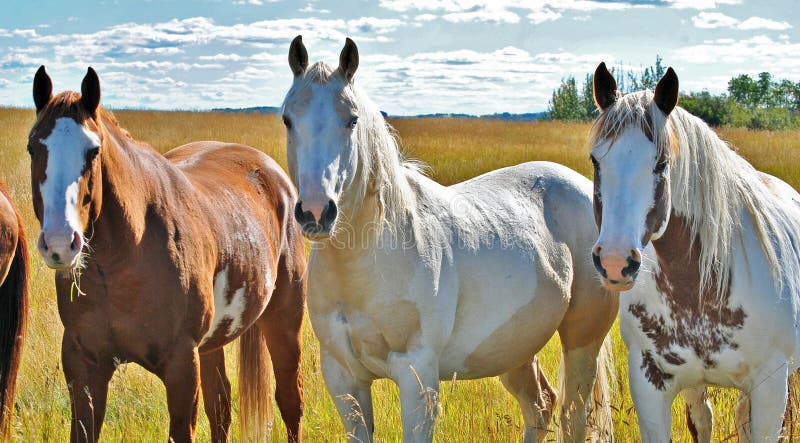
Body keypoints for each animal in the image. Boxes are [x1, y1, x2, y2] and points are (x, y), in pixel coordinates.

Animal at [28, 66, 307, 443]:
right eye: (33, 148)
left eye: (93, 151)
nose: (59, 242)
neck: (122, 261)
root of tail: (272, 173)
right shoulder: (83, 366)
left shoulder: (181, 366)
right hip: (213, 343)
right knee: (221, 406)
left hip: (284, 323)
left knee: (290, 401)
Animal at [281, 35, 618, 443]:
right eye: (288, 119)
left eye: (352, 119)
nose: (316, 211)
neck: (369, 261)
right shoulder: (344, 379)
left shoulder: (418, 377)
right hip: (515, 348)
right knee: (540, 406)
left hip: (582, 341)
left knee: (573, 415)